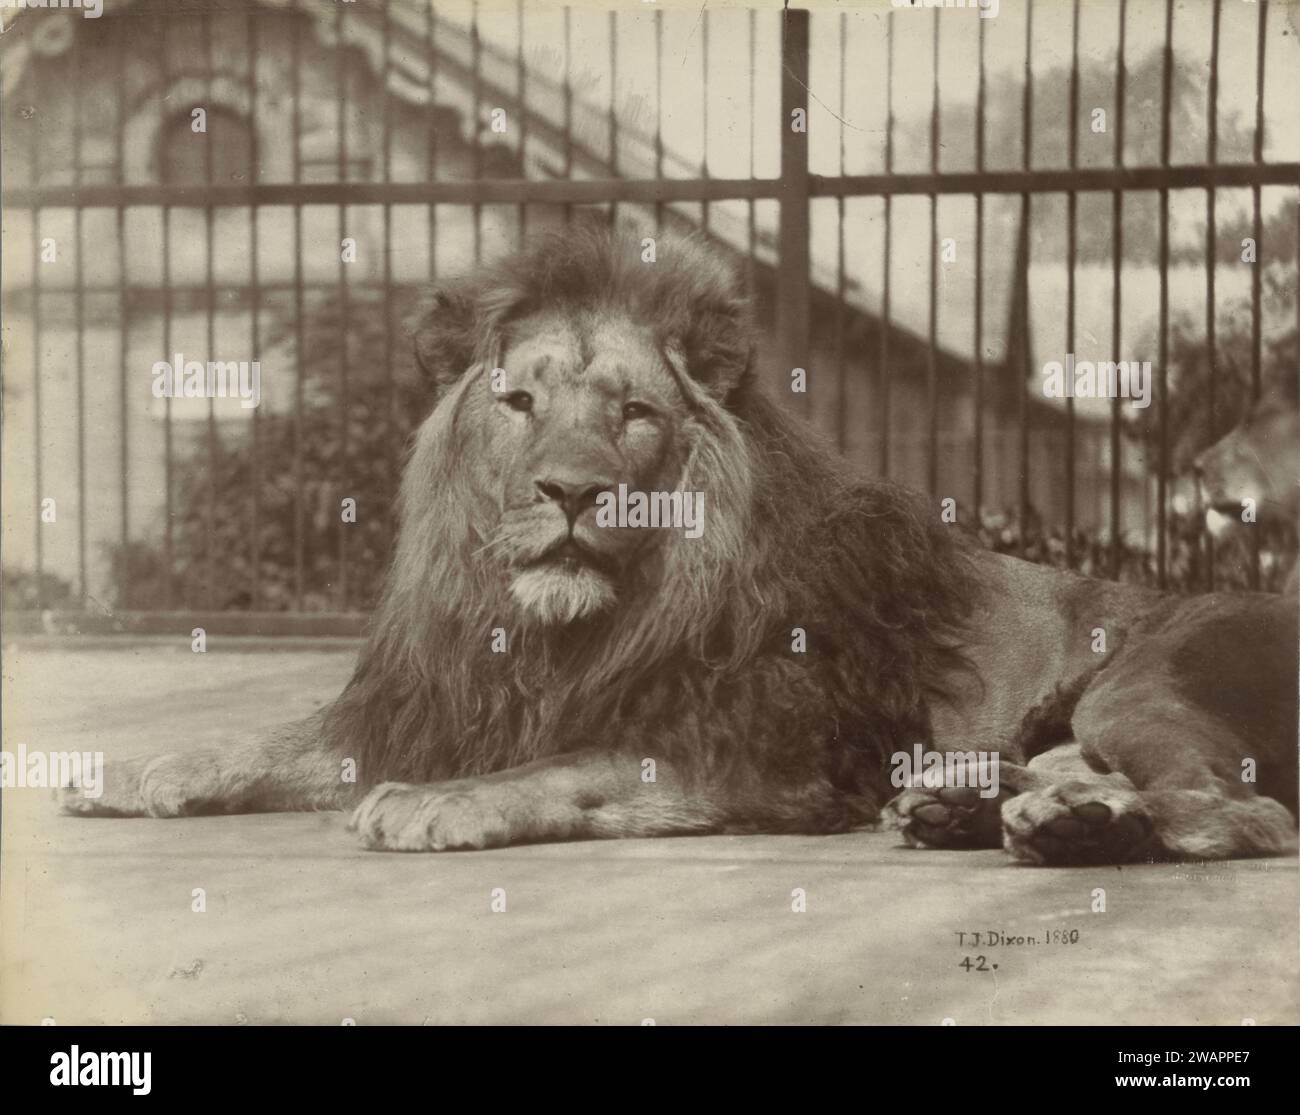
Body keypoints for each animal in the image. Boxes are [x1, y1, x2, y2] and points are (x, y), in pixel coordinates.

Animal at [61, 227, 1298, 865]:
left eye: (634, 414)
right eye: (518, 402)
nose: (570, 490)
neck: (554, 633)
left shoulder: (757, 750)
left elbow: (569, 765)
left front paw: (436, 801)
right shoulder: (431, 702)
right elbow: (278, 739)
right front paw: (142, 767)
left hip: (1146, 673)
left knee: (1239, 814)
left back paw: (1066, 824)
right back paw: (987, 807)